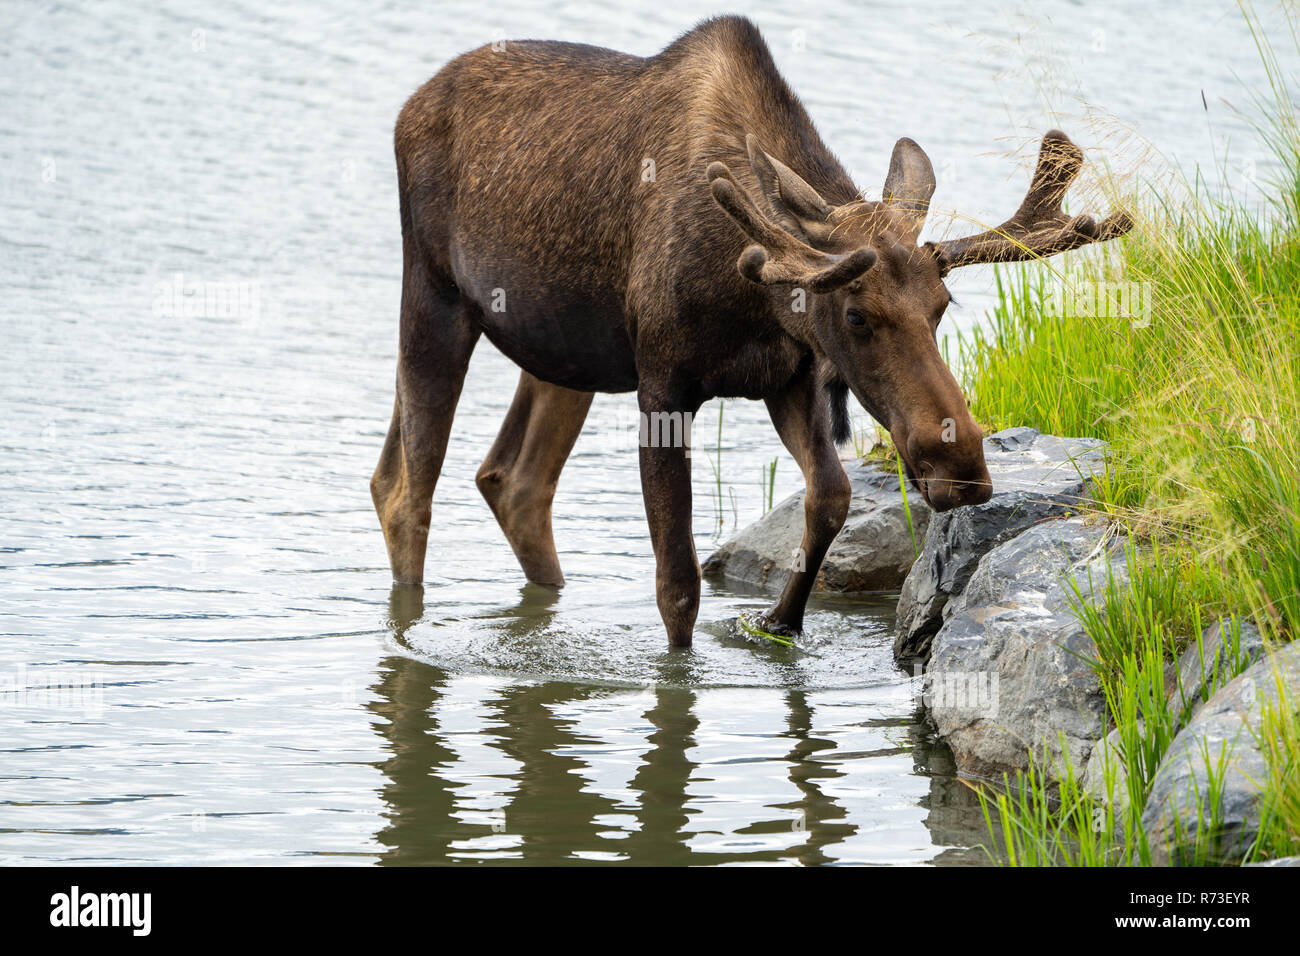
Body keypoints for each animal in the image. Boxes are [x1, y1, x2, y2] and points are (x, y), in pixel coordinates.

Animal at [370, 15, 1132, 647]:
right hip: (435, 295)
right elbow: (677, 585)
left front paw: (778, 621)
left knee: (509, 480)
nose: (963, 470)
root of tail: (407, 107)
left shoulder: (791, 377)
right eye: (856, 315)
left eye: (942, 305)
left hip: (565, 353)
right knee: (408, 490)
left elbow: (830, 499)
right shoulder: (663, 385)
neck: (748, 286)